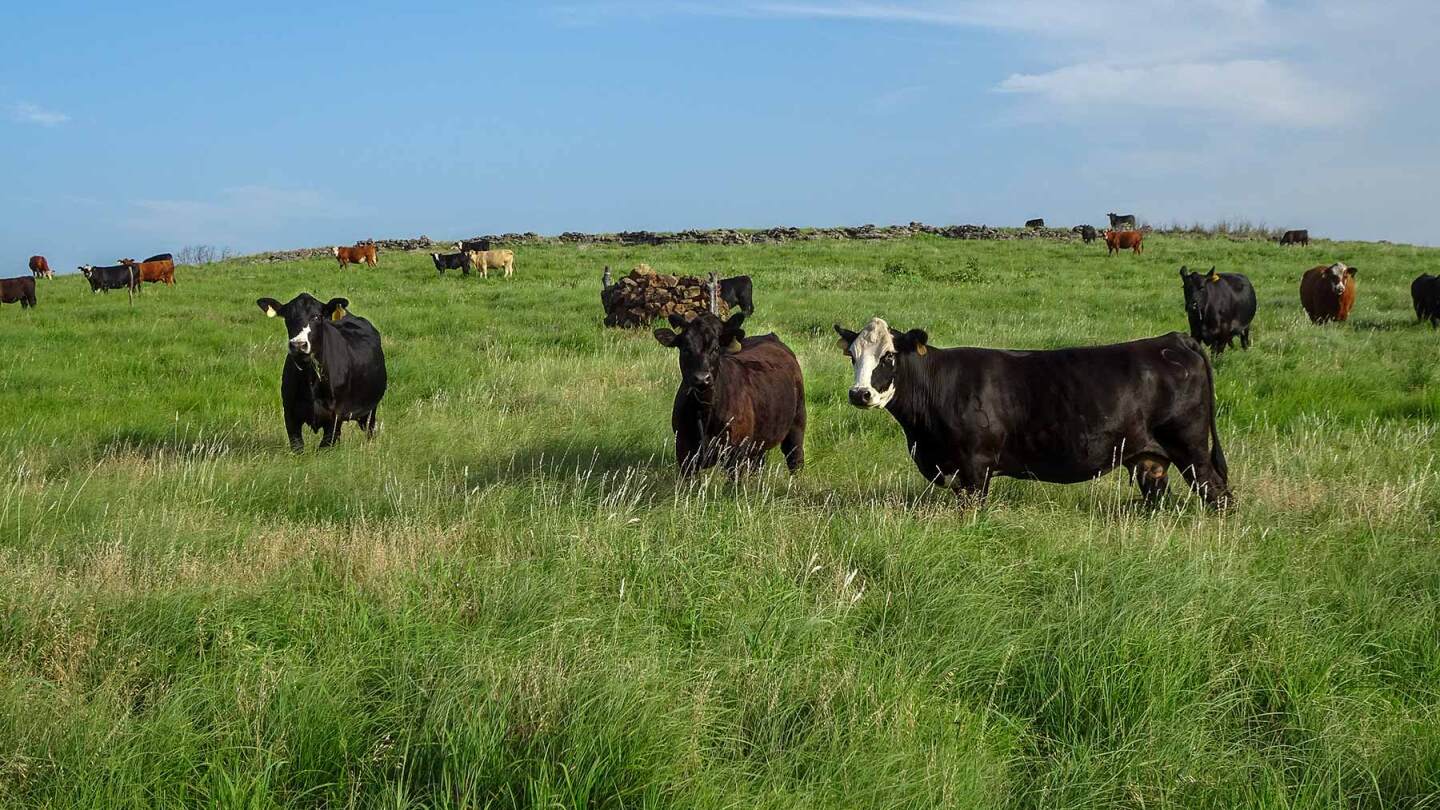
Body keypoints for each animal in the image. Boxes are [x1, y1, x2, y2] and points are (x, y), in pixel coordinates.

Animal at [254, 293, 387, 452]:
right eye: (288, 316)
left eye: (316, 316)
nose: (298, 344)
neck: (310, 380)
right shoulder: (290, 414)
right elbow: (298, 446)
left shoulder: (335, 416)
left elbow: (325, 446)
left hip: (370, 410)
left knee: (370, 431)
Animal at [653, 312, 805, 475]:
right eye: (685, 349)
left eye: (716, 348)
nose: (702, 378)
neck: (705, 411)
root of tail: (770, 337)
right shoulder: (684, 452)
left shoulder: (735, 452)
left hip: (797, 423)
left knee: (795, 459)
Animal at [834, 318, 1231, 508]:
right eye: (852, 356)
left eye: (889, 356)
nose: (859, 393)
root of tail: (1174, 339)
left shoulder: (975, 468)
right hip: (1151, 459)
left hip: (1191, 448)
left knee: (1219, 496)